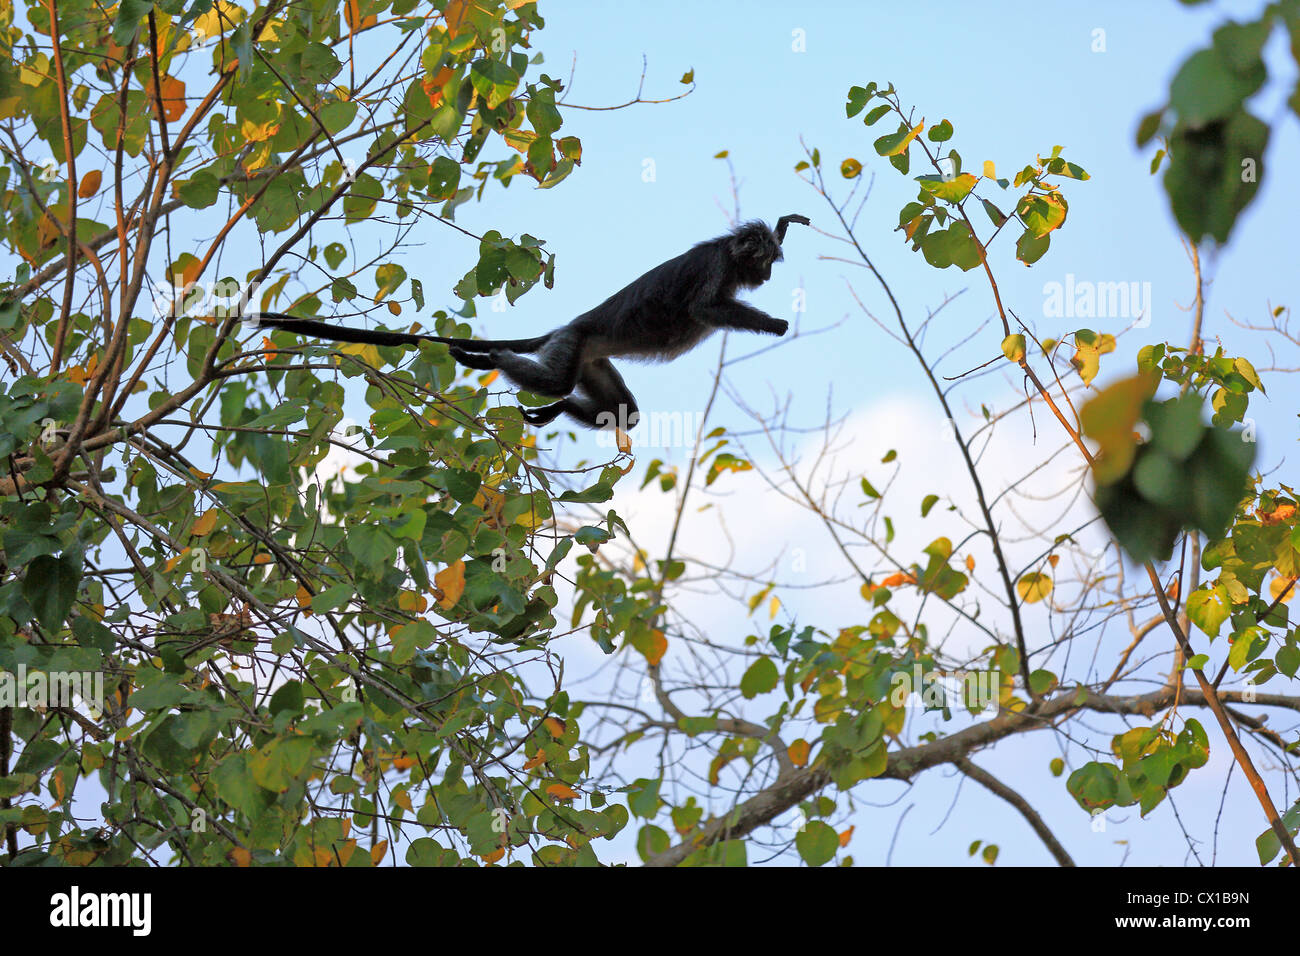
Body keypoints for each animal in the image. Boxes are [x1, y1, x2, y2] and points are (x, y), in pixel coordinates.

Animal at [253, 214, 810, 430]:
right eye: (762, 263)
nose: (765, 276)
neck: (729, 258)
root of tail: (569, 327)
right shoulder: (714, 266)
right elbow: (703, 310)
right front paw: (777, 325)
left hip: (590, 357)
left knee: (620, 411)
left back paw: (559, 408)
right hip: (573, 343)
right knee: (558, 378)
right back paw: (492, 358)